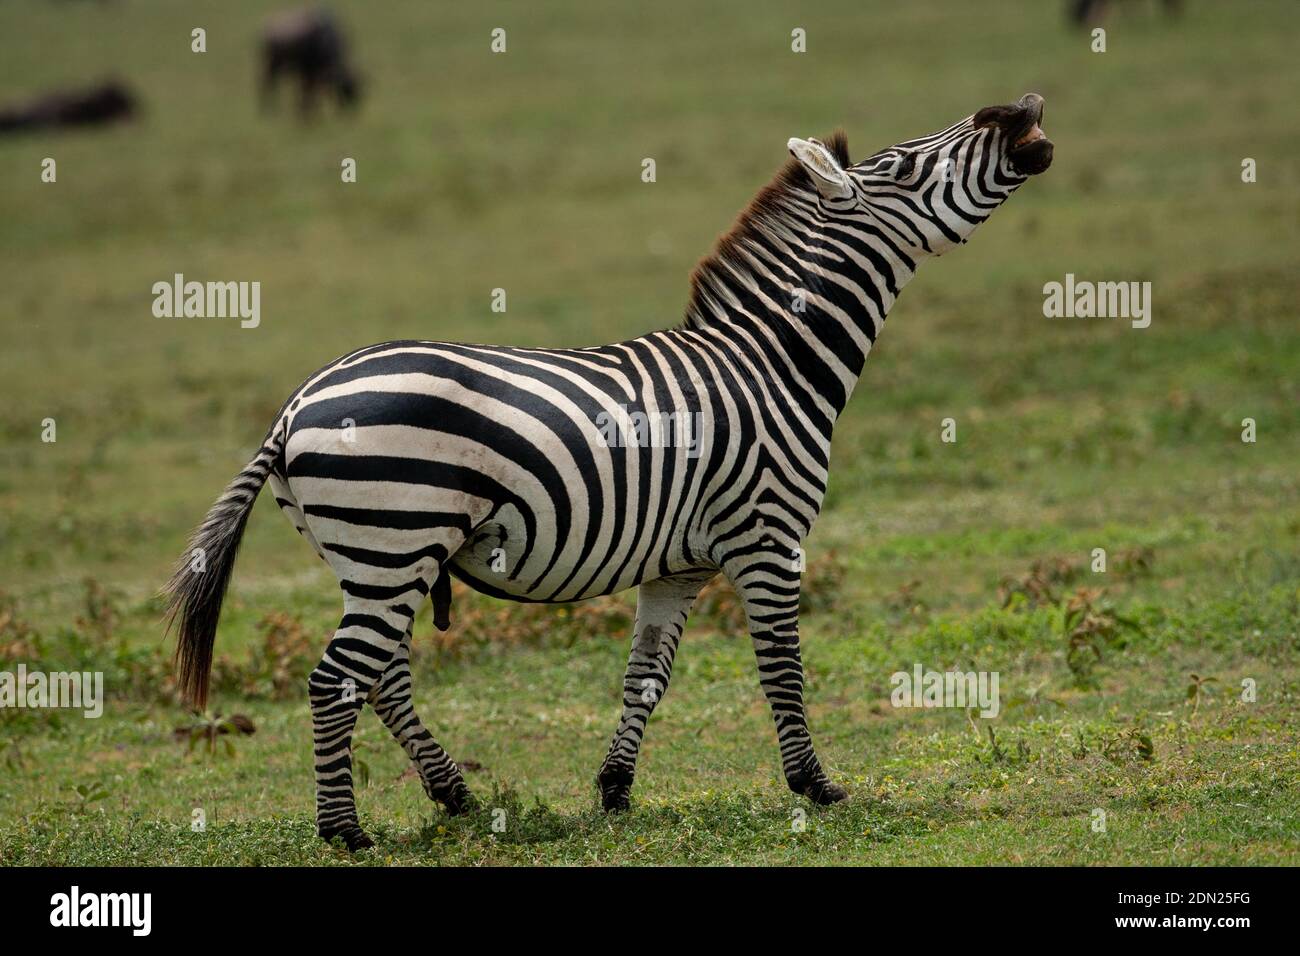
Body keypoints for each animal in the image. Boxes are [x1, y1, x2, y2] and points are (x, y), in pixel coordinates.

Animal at [165, 93, 1053, 851]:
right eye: (904, 163)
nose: (1021, 109)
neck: (773, 363)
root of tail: (293, 408)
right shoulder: (768, 540)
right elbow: (781, 668)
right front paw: (814, 785)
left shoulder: (677, 566)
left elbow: (644, 679)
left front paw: (615, 789)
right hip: (394, 540)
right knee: (336, 681)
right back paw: (346, 831)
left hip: (374, 555)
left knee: (380, 677)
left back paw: (456, 795)